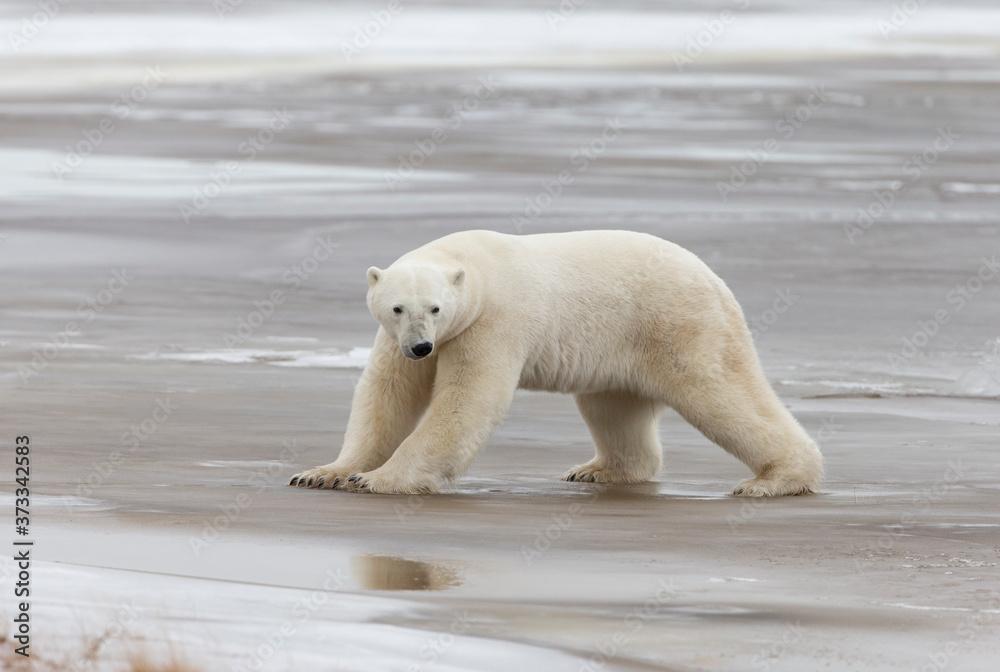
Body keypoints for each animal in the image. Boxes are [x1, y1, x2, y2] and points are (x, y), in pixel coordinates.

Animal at [289, 230, 823, 496]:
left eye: (436, 308)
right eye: (398, 307)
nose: (421, 347)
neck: (472, 264)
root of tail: (713, 277)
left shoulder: (494, 323)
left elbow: (466, 400)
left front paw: (377, 480)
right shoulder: (396, 340)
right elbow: (388, 394)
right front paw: (324, 472)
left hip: (679, 324)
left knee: (720, 392)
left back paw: (775, 480)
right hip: (619, 344)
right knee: (612, 408)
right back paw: (597, 470)